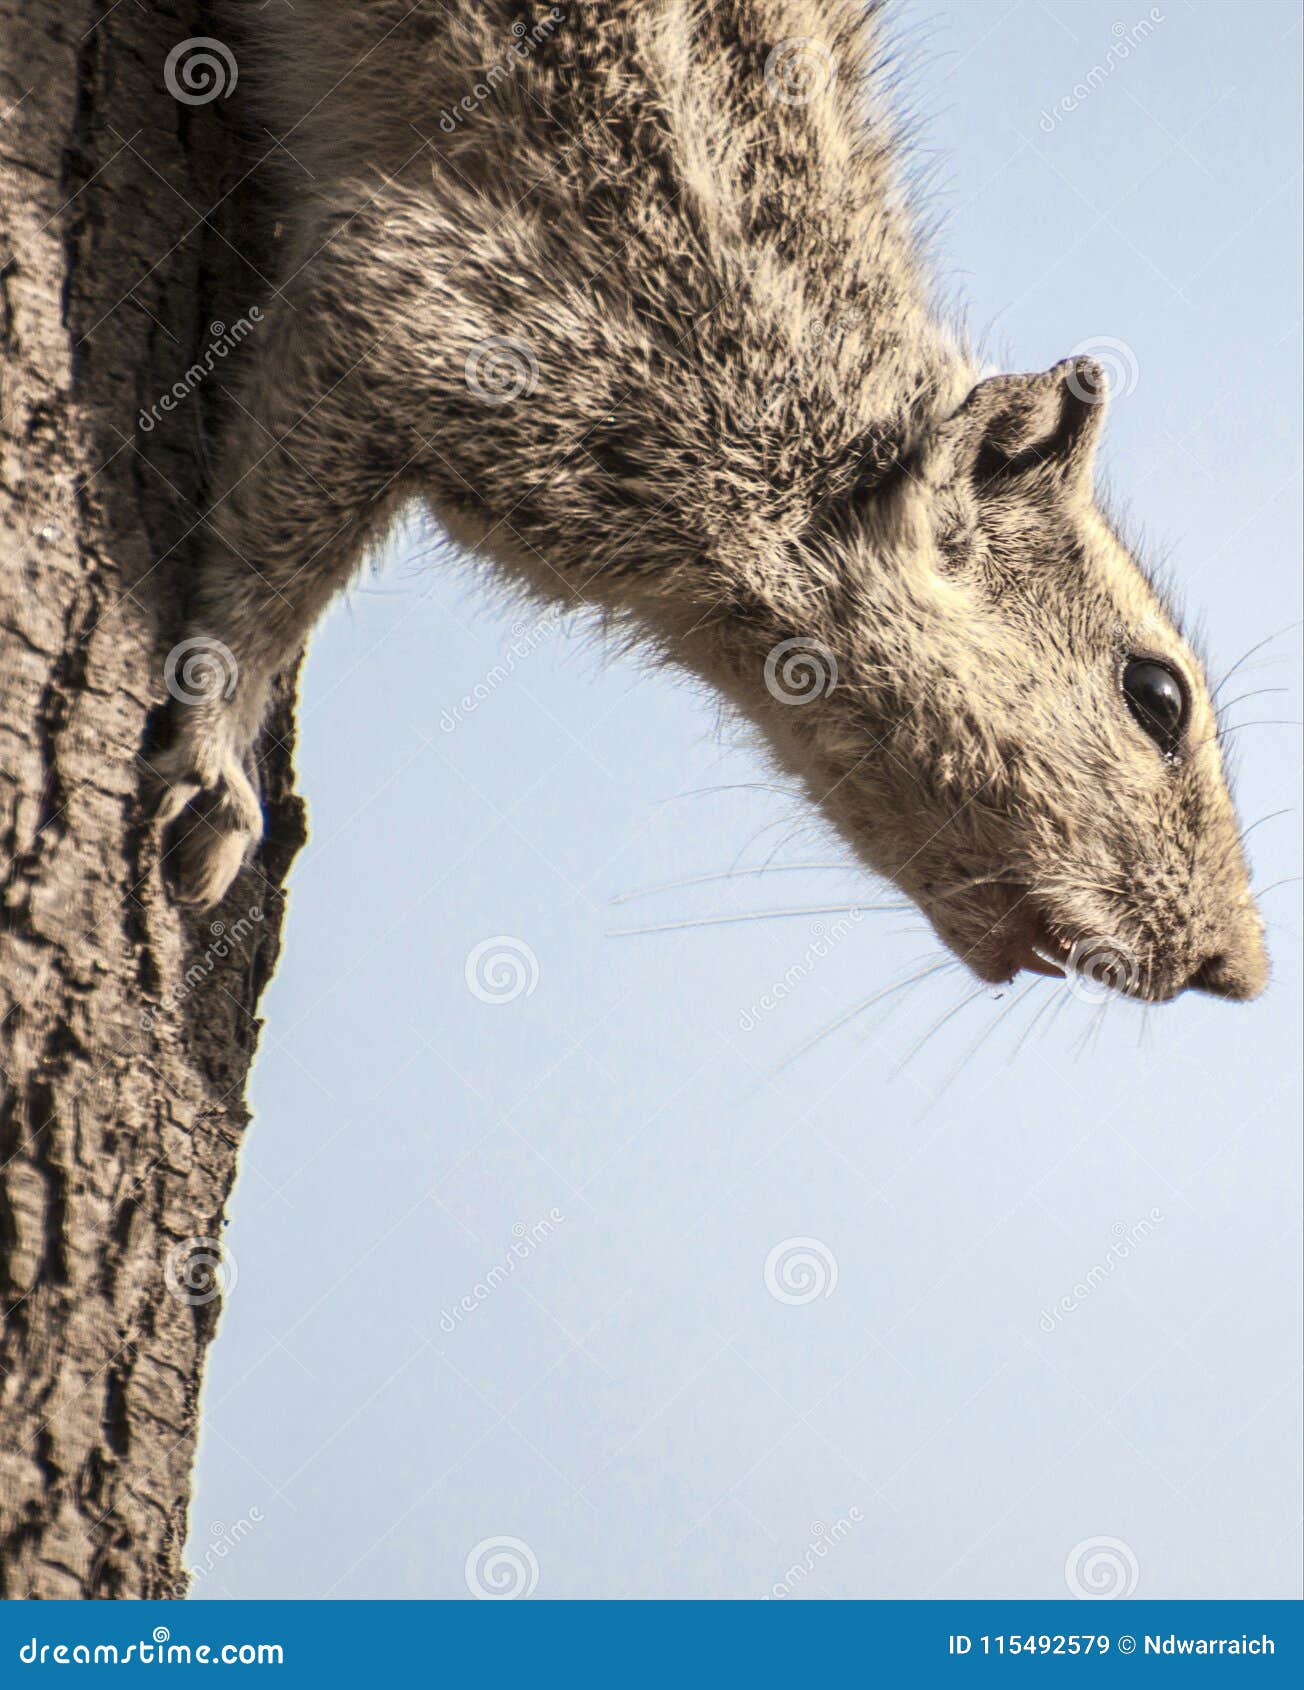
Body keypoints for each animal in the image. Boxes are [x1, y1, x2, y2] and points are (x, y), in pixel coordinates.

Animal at [153, 0, 1267, 1004]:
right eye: (1154, 696)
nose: (1238, 973)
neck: (808, 421)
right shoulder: (439, 315)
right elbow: (265, 569)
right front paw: (215, 755)